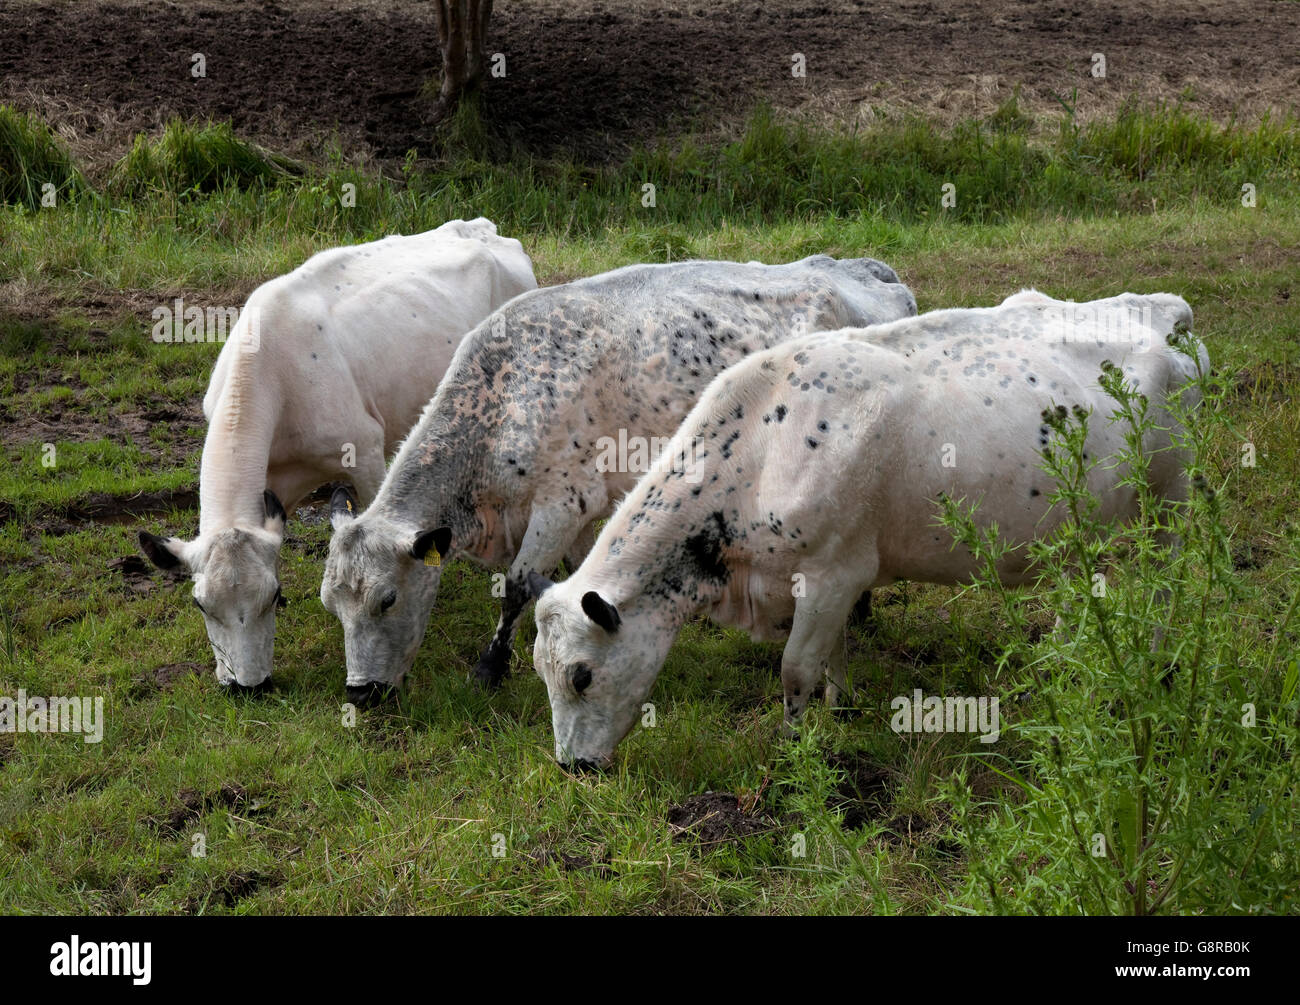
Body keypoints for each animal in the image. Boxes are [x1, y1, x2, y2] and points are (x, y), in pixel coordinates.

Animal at [321, 255, 917, 703]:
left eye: (387, 600)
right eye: (332, 605)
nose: (360, 694)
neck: (505, 400)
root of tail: (868, 270)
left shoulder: (562, 501)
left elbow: (515, 587)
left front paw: (489, 669)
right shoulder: (580, 510)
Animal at [527, 292, 1204, 769]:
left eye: (581, 675)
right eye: (541, 673)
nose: (571, 768)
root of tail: (1164, 309)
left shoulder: (833, 570)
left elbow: (796, 668)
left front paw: (793, 749)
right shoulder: (834, 579)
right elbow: (834, 653)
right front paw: (843, 703)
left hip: (1170, 499)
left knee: (1167, 578)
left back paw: (1157, 660)